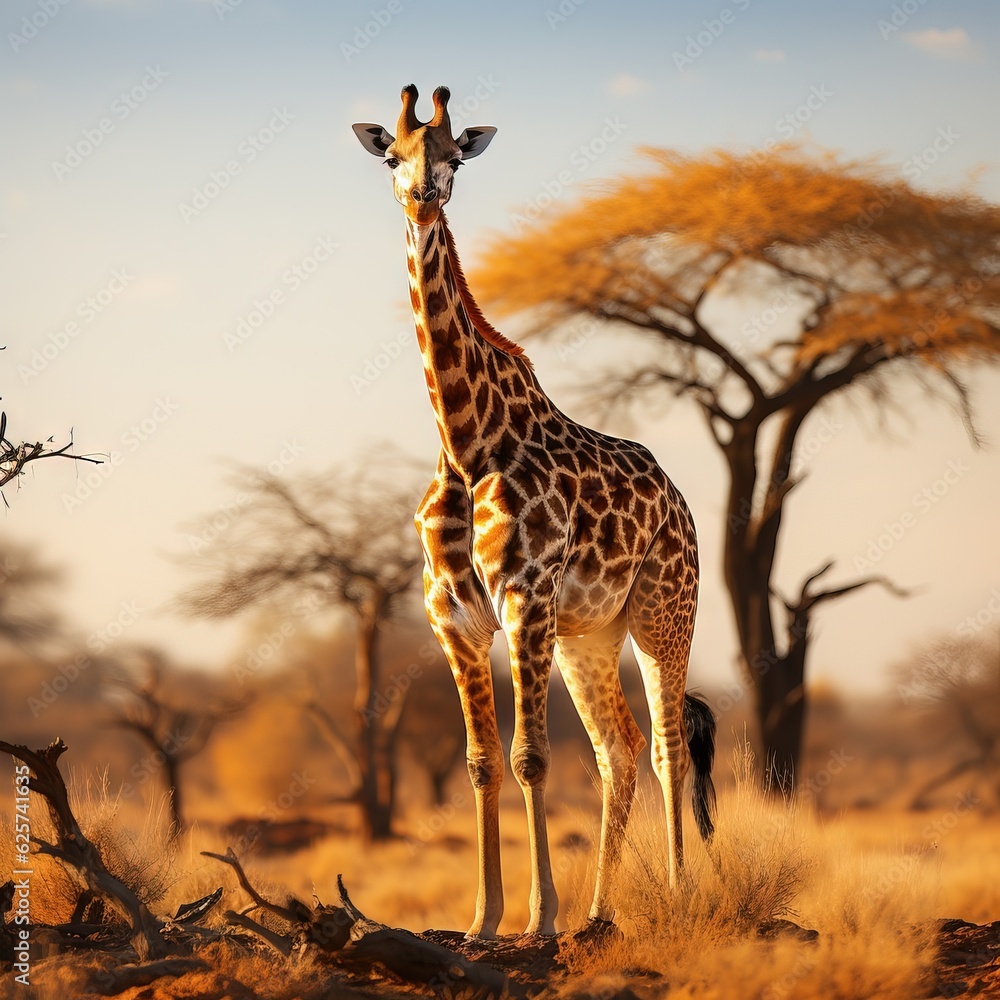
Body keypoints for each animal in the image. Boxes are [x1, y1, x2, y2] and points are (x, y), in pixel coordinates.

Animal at [353, 85, 716, 938]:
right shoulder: (452, 615)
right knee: (619, 749)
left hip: (663, 611)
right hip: (592, 634)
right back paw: (599, 912)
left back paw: (675, 895)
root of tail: (681, 503)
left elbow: (530, 757)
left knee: (667, 745)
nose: (423, 198)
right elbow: (481, 762)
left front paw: (537, 918)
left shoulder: (525, 596)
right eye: (392, 157)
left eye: (454, 158)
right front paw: (483, 919)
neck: (464, 440)